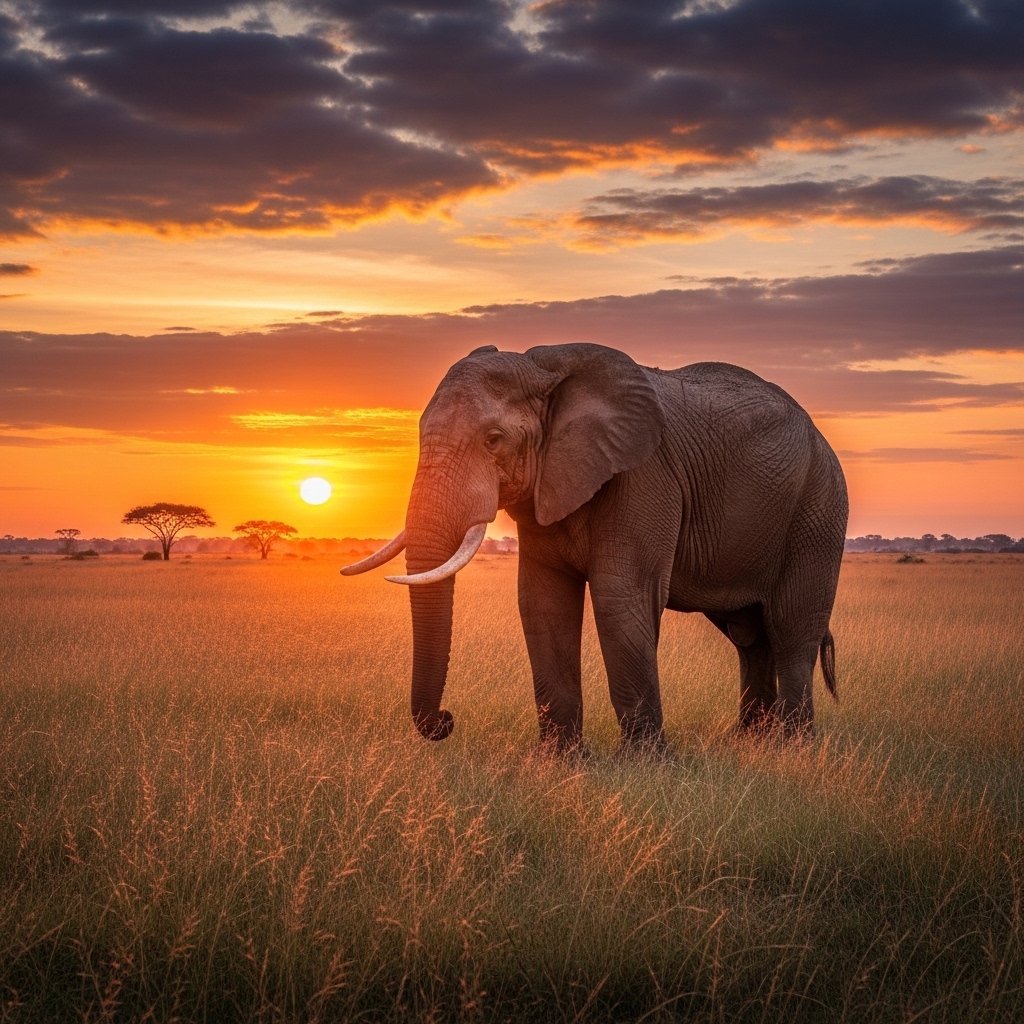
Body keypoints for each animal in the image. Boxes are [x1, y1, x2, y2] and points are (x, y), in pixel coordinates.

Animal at [342, 343, 848, 753]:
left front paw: (645, 765)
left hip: (819, 508)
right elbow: (542, 603)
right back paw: (748, 743)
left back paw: (792, 749)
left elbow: (620, 599)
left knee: (791, 629)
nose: (447, 721)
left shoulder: (643, 477)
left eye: (493, 440)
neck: (545, 370)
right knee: (749, 635)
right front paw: (561, 763)